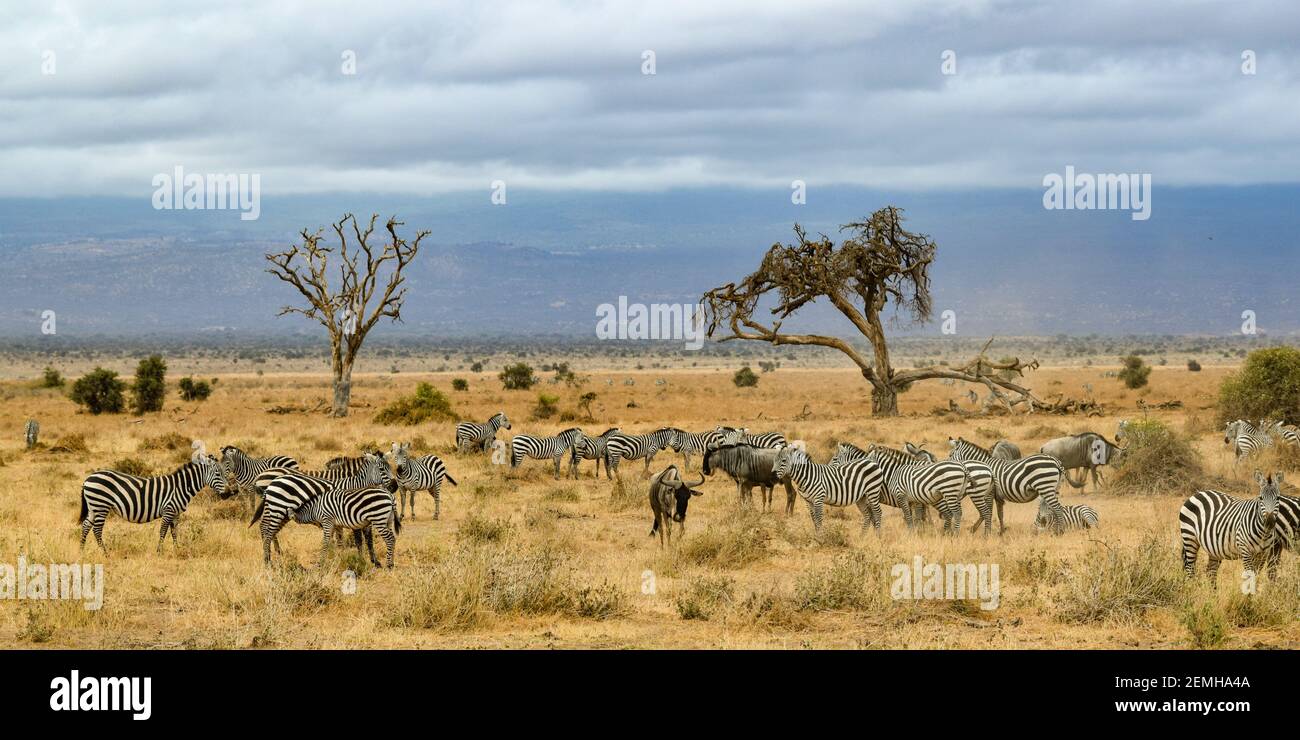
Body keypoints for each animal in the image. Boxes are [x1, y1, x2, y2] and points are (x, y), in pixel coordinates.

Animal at [78, 453, 230, 554]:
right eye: (218, 474)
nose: (229, 493)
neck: (180, 487)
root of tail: (88, 478)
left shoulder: (176, 513)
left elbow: (174, 532)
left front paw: (177, 550)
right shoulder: (169, 510)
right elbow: (163, 531)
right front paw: (159, 551)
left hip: (93, 507)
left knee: (86, 526)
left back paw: (82, 551)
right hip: (101, 505)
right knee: (97, 530)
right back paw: (105, 553)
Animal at [249, 453, 394, 564]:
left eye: (391, 468)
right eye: (382, 470)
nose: (395, 486)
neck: (354, 485)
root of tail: (271, 480)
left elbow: (364, 540)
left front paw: (372, 561)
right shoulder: (353, 514)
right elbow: (360, 540)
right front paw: (363, 560)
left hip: (276, 509)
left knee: (266, 528)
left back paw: (273, 554)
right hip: (277, 508)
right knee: (267, 529)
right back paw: (268, 560)